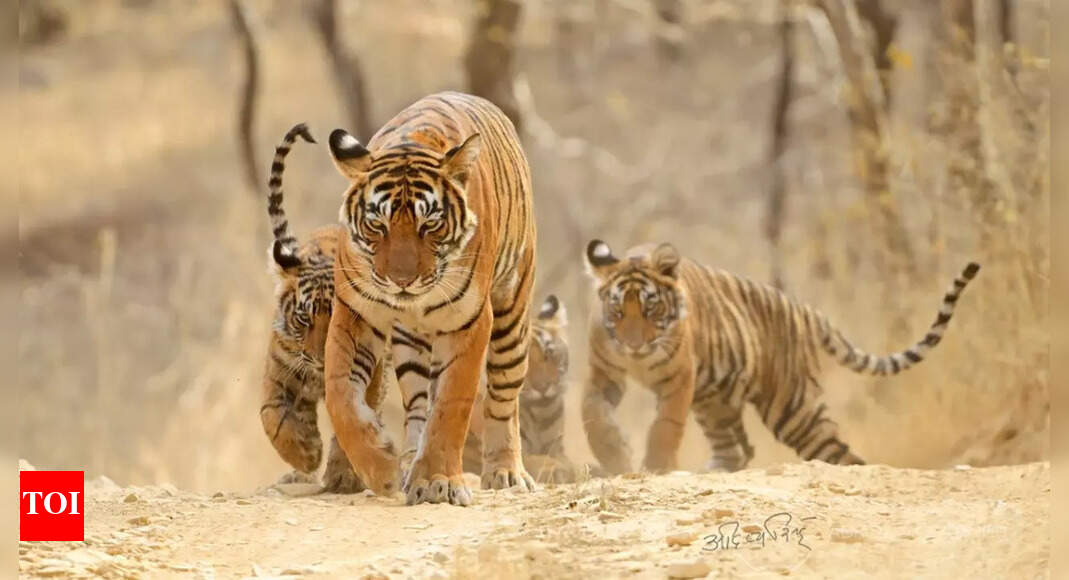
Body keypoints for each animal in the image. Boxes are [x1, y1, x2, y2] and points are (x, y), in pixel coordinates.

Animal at [323, 91, 537, 506]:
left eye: (431, 224)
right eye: (377, 224)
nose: (402, 281)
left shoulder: (471, 320)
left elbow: (452, 404)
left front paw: (439, 481)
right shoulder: (356, 312)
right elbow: (340, 393)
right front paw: (382, 469)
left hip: (512, 317)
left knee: (503, 399)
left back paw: (506, 471)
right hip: (410, 346)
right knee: (418, 406)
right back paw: (408, 463)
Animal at [581, 239, 980, 474]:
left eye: (651, 309)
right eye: (617, 311)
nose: (634, 346)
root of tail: (805, 310)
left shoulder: (678, 378)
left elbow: (666, 425)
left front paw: (655, 466)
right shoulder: (603, 373)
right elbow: (593, 416)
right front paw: (615, 456)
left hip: (792, 408)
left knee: (842, 454)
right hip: (716, 404)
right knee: (738, 450)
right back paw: (715, 470)